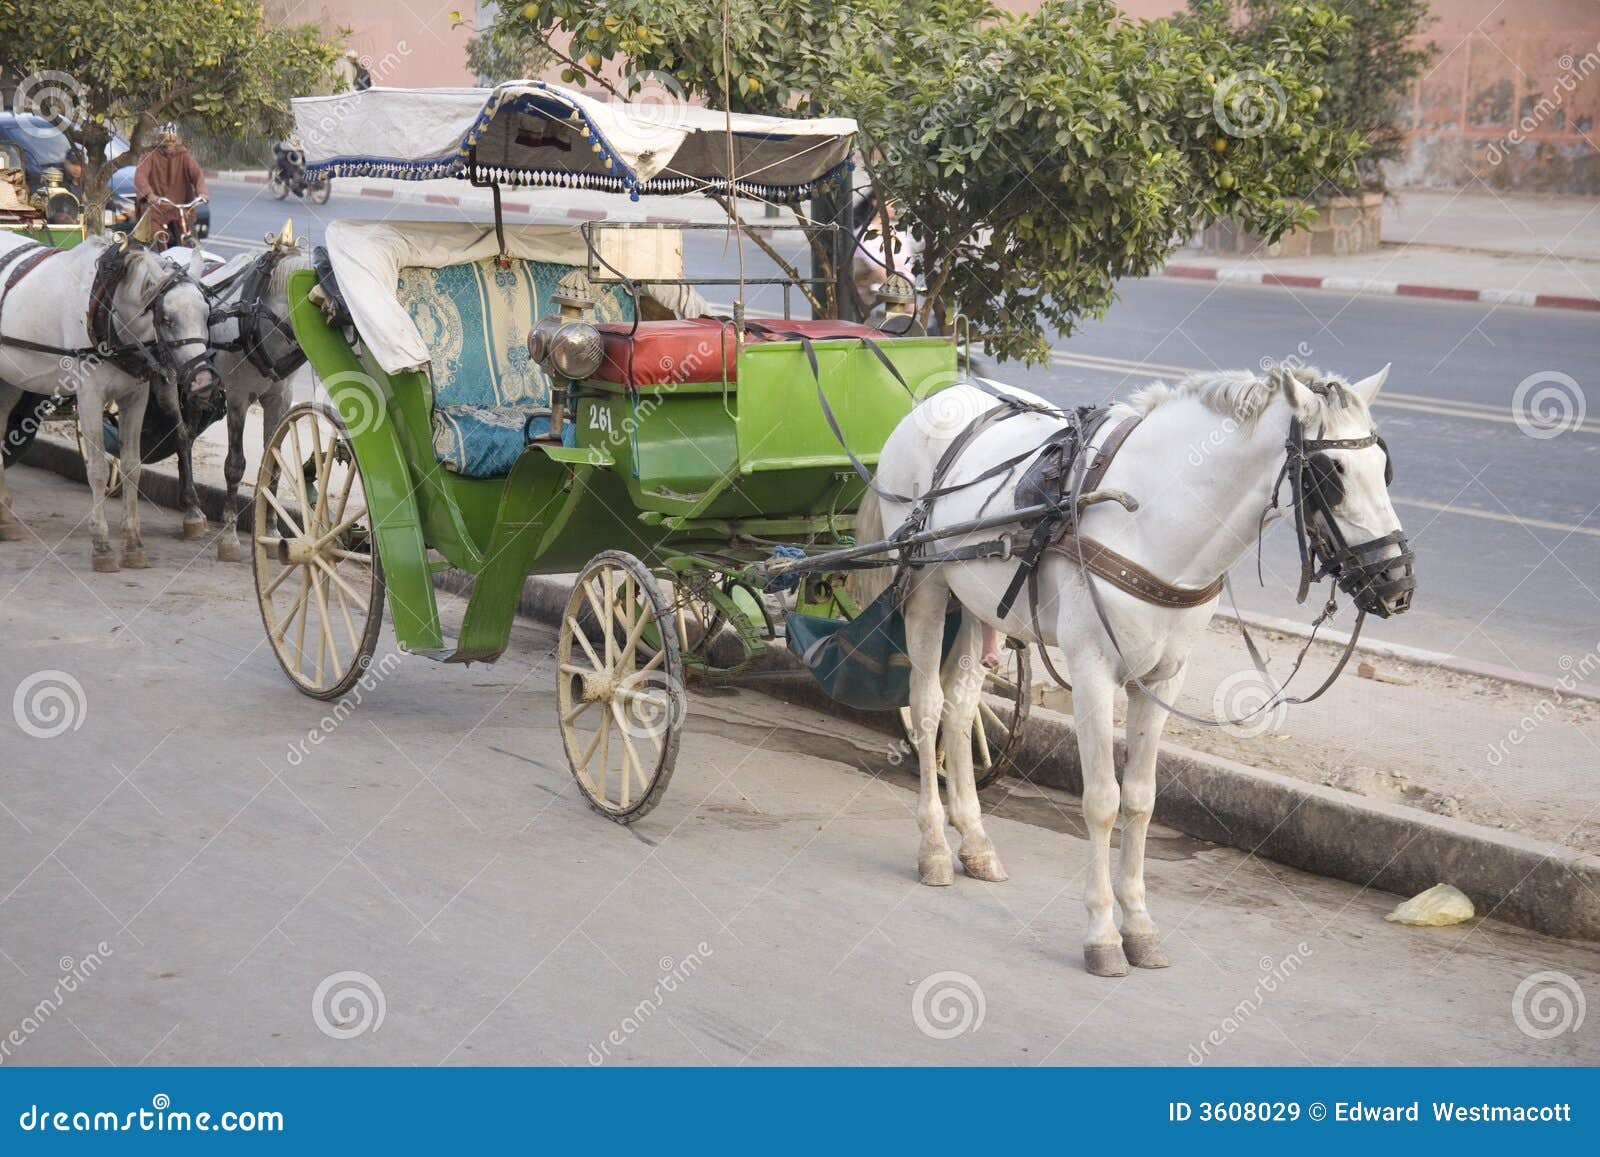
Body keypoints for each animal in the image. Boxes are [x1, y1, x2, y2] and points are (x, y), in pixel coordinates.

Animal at [0, 232, 218, 570]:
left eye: (207, 314)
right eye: (166, 318)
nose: (203, 382)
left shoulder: (135, 398)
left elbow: (131, 467)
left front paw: (133, 543)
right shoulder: (89, 396)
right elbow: (98, 469)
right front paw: (101, 544)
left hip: (11, 378)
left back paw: (5, 517)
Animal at [850, 364, 1414, 976]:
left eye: (1383, 467)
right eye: (1329, 473)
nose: (1396, 581)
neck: (1153, 521)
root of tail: (943, 393)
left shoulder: (1164, 679)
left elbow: (1141, 801)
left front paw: (1140, 926)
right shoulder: (1092, 673)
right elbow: (1102, 801)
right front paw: (1102, 934)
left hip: (976, 601)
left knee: (960, 711)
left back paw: (975, 843)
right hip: (926, 586)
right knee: (929, 708)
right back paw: (933, 847)